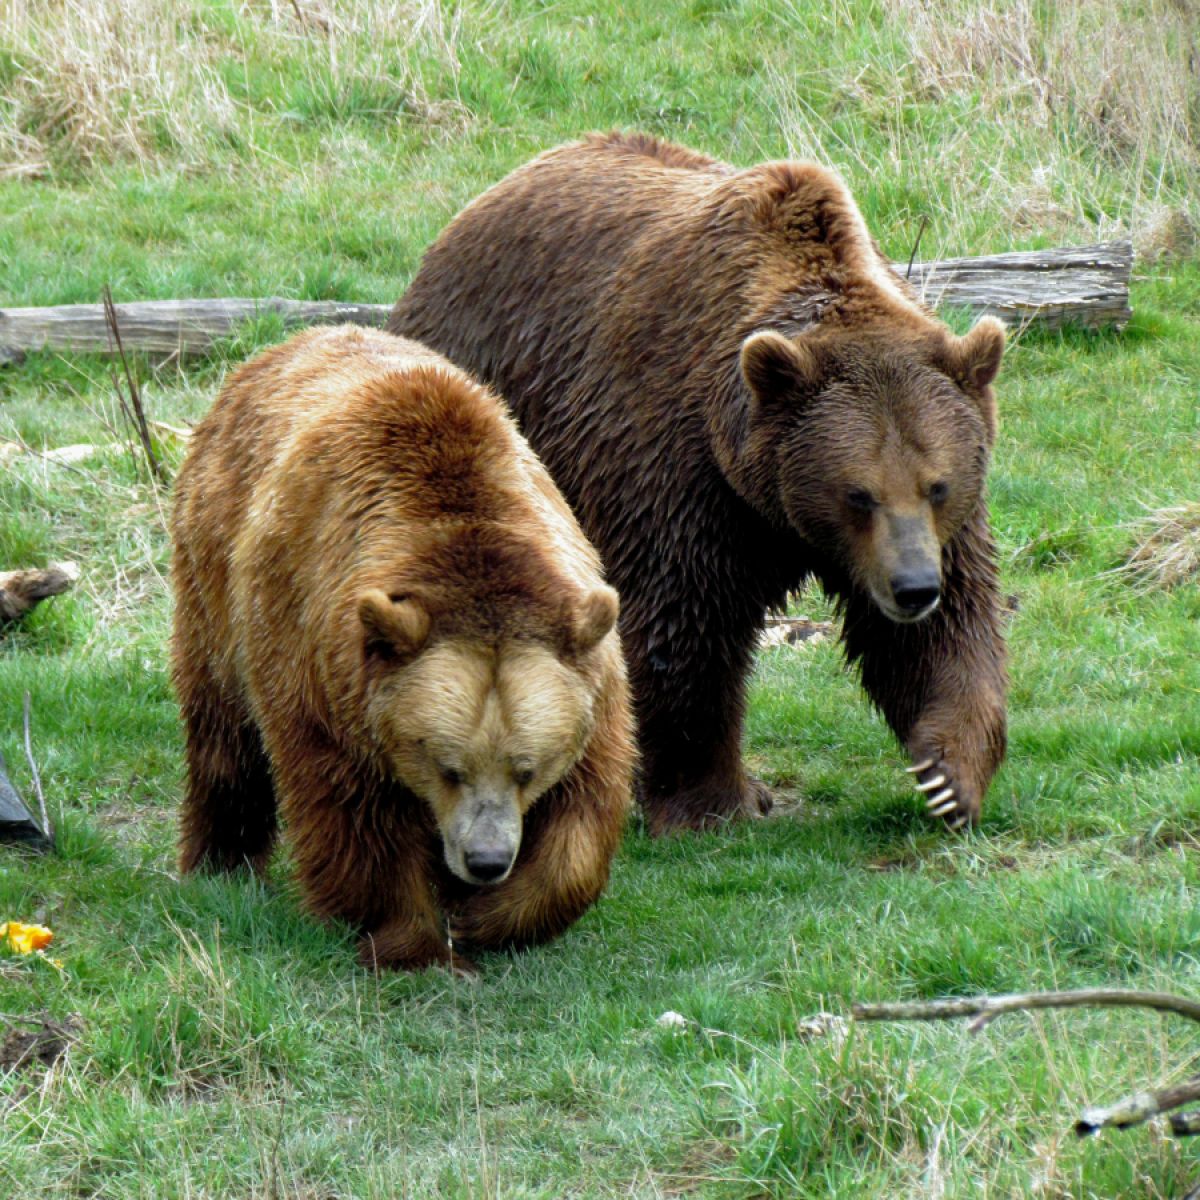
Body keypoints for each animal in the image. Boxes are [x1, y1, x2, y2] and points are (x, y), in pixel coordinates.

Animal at [171, 325, 634, 972]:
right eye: (448, 767)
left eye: (526, 768)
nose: (486, 861)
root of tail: (284, 345)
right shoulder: (319, 665)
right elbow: (355, 819)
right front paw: (415, 942)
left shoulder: (588, 672)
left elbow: (582, 819)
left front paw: (486, 919)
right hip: (213, 571)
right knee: (223, 733)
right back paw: (221, 863)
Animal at [388, 131, 1008, 834]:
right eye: (858, 494)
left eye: (937, 486)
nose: (912, 587)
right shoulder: (680, 466)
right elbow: (682, 622)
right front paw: (712, 802)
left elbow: (942, 630)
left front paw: (947, 777)